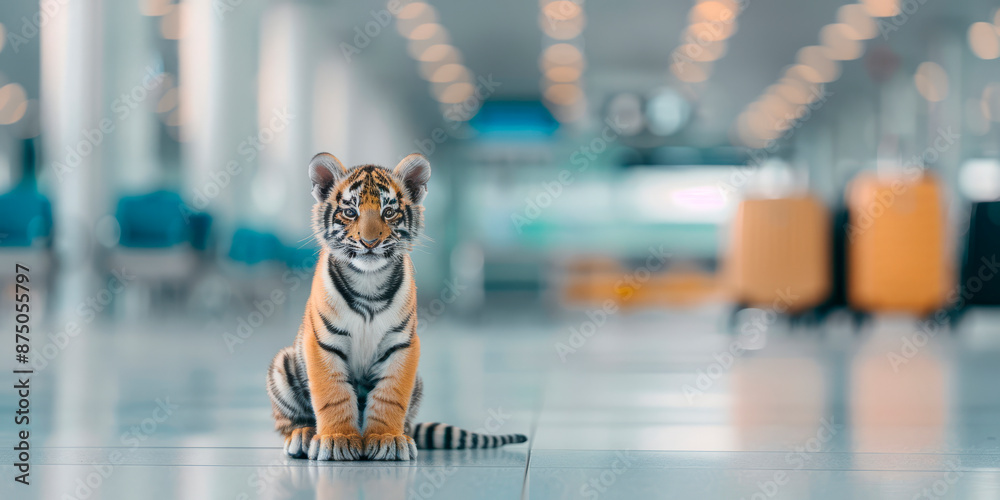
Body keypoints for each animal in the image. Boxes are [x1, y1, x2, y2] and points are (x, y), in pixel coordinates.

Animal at [266, 152, 527, 460]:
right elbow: (332, 395)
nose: (369, 242)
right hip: (283, 364)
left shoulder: (401, 344)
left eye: (388, 212)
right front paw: (337, 438)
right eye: (350, 212)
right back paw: (304, 435)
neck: (368, 281)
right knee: (289, 421)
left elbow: (390, 396)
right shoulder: (323, 343)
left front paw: (386, 438)